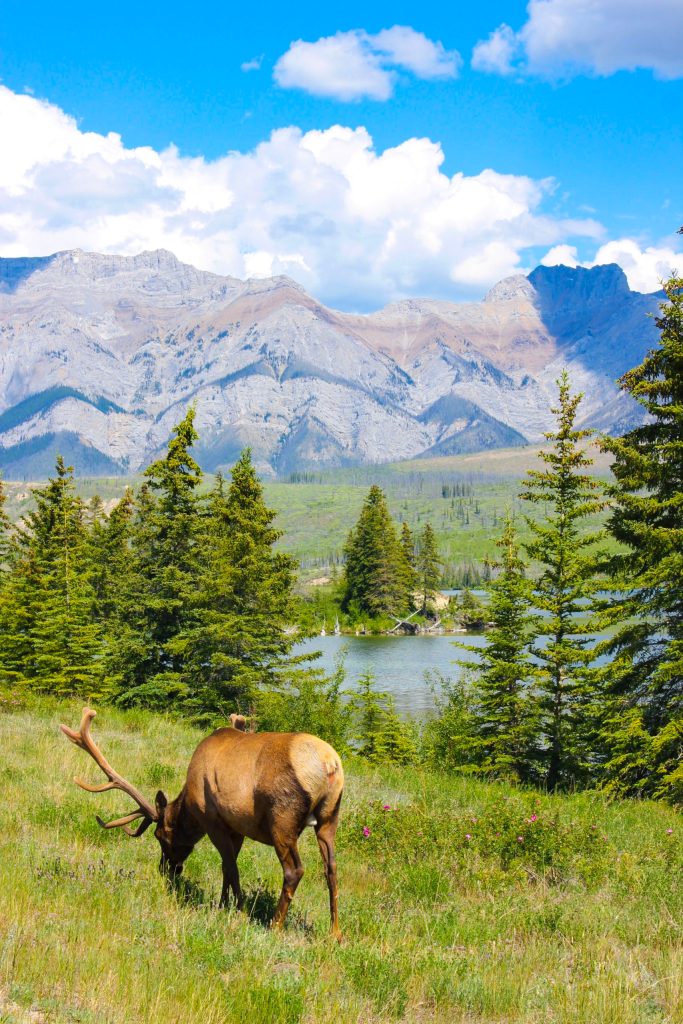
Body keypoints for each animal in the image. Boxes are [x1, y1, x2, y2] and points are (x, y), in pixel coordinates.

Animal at [60, 708, 344, 937]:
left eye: (160, 836)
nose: (166, 869)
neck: (189, 804)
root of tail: (329, 764)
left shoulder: (212, 820)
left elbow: (231, 867)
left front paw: (239, 911)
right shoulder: (236, 826)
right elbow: (227, 868)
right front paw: (222, 904)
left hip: (282, 820)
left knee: (295, 870)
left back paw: (275, 925)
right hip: (330, 818)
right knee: (331, 867)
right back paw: (335, 934)